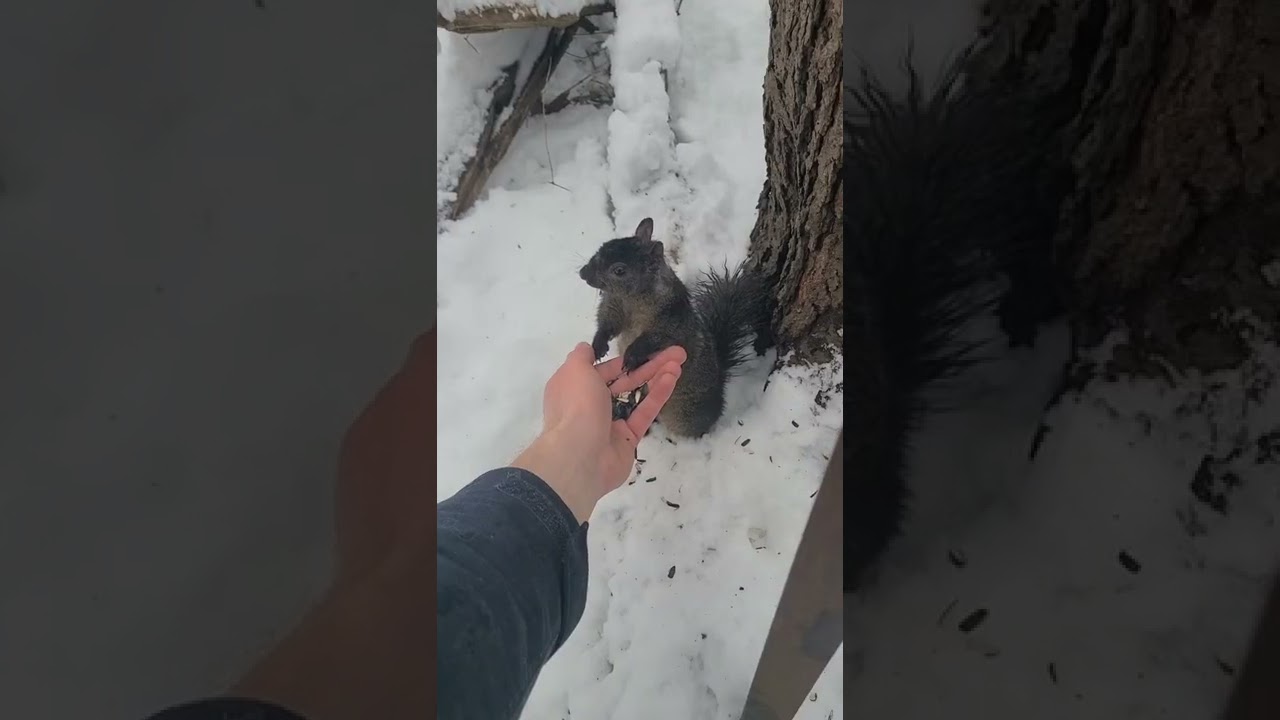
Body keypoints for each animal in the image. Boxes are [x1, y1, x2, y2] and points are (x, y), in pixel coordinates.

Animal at [577, 218, 773, 438]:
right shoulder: (614, 306)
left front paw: (632, 356)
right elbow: (607, 323)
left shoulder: (671, 321)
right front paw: (598, 345)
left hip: (685, 415)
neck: (632, 298)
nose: (583, 273)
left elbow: (654, 338)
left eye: (619, 270)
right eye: (604, 246)